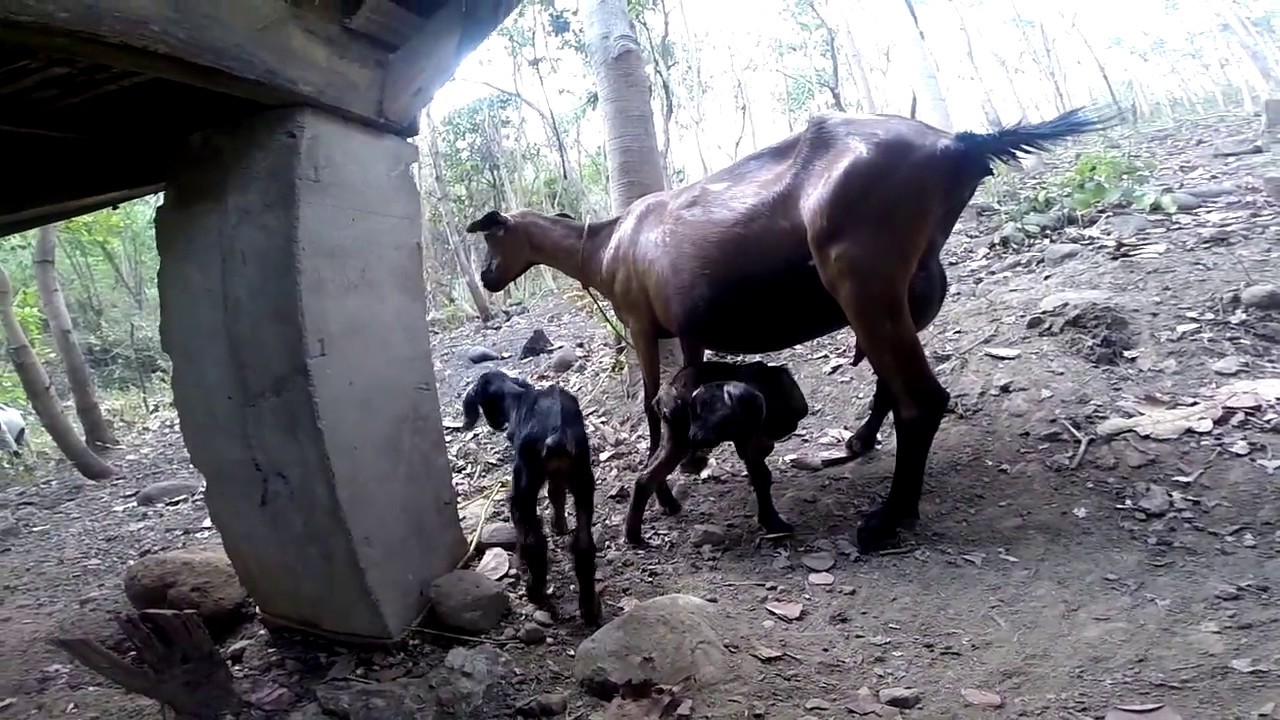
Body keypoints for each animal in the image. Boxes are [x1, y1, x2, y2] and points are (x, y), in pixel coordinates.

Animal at [461, 370, 602, 626]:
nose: (496, 424)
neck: (517, 397)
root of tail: (557, 433)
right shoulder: (559, 475)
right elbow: (556, 494)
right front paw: (559, 525)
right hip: (583, 478)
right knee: (583, 543)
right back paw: (590, 606)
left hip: (527, 482)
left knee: (534, 539)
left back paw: (535, 591)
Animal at [624, 360, 807, 546]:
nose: (789, 428)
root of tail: (665, 394)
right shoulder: (750, 437)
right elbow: (761, 475)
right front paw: (773, 524)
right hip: (681, 440)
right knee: (648, 477)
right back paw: (634, 535)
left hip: (673, 438)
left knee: (650, 469)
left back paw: (663, 507)